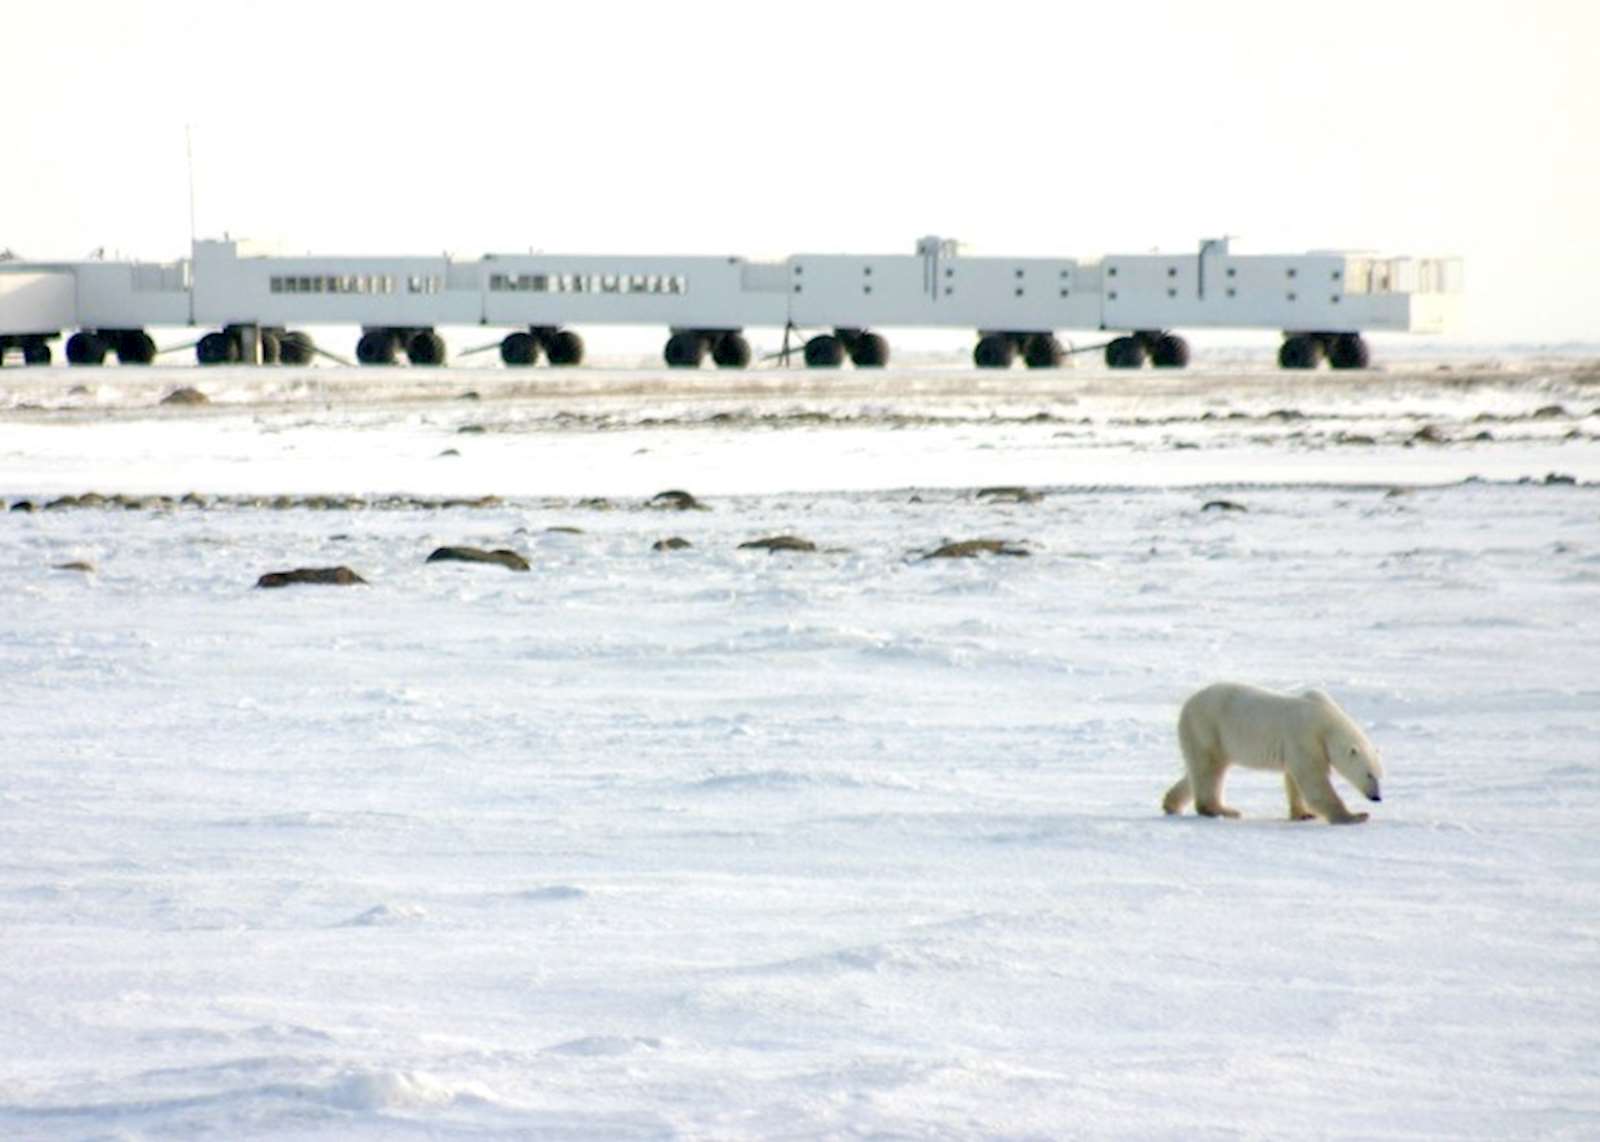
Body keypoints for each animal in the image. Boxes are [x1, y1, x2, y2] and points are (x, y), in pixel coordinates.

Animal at [1162, 682, 1384, 824]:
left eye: (1380, 775)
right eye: (1368, 774)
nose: (1377, 798)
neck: (1324, 720)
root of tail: (1188, 703)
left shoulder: (1300, 744)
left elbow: (1294, 778)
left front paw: (1303, 814)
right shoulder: (1305, 737)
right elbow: (1313, 780)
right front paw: (1355, 816)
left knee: (1198, 771)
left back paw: (1172, 804)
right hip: (1207, 727)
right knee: (1208, 769)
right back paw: (1223, 810)